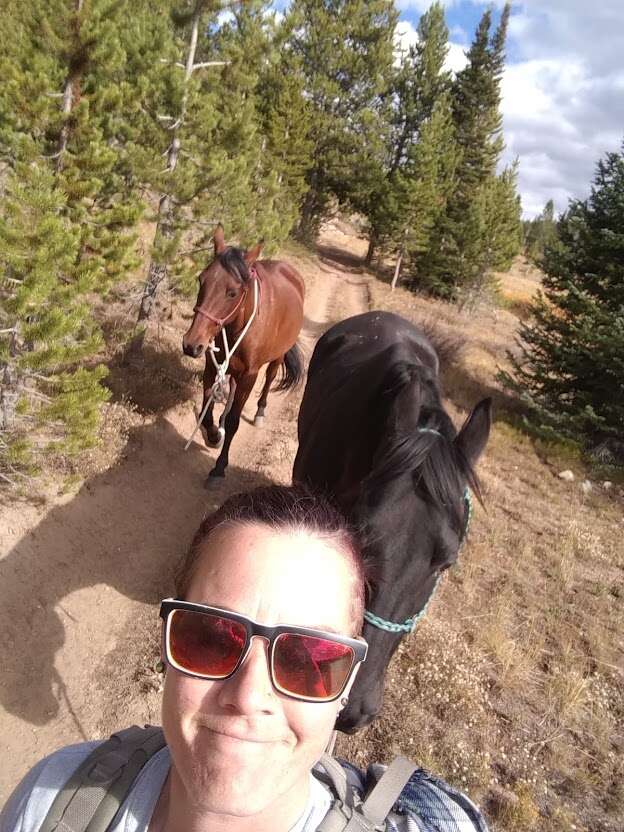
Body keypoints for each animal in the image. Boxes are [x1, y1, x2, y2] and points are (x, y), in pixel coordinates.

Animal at [183, 226, 305, 480]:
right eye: (201, 280)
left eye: (232, 292)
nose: (191, 344)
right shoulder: (212, 365)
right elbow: (207, 413)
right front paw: (213, 434)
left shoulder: (250, 375)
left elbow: (233, 423)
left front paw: (219, 467)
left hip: (277, 357)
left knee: (270, 378)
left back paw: (260, 411)